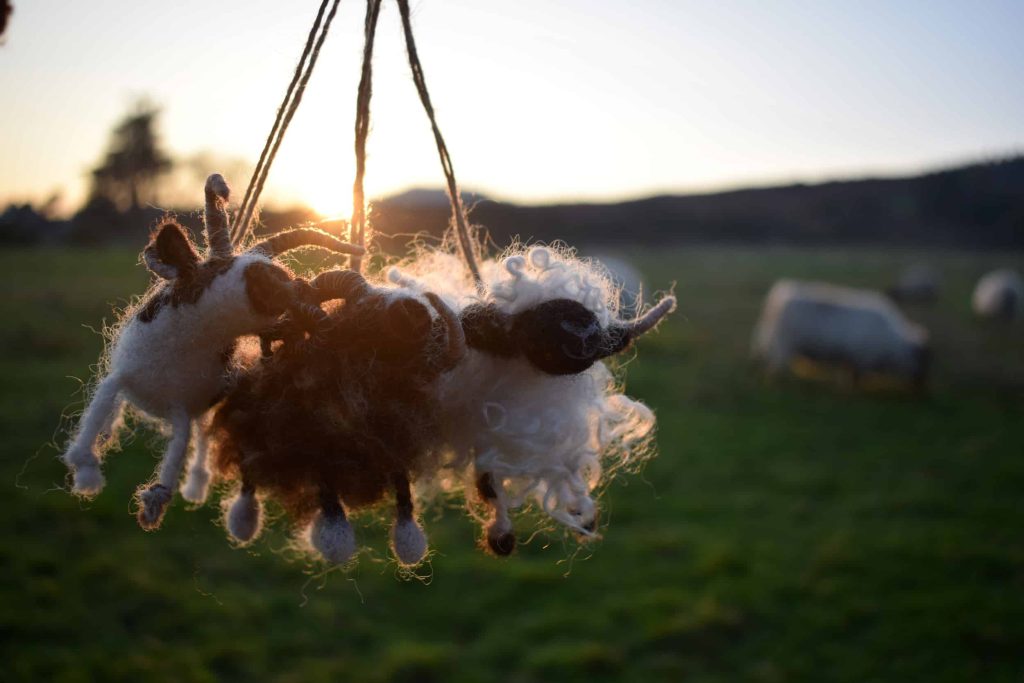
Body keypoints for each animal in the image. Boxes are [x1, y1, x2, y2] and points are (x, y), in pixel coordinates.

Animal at [751, 279, 930, 387]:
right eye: (923, 359)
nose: (922, 386)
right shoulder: (862, 358)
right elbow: (856, 378)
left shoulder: (852, 359)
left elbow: (849, 374)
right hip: (782, 345)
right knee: (777, 368)